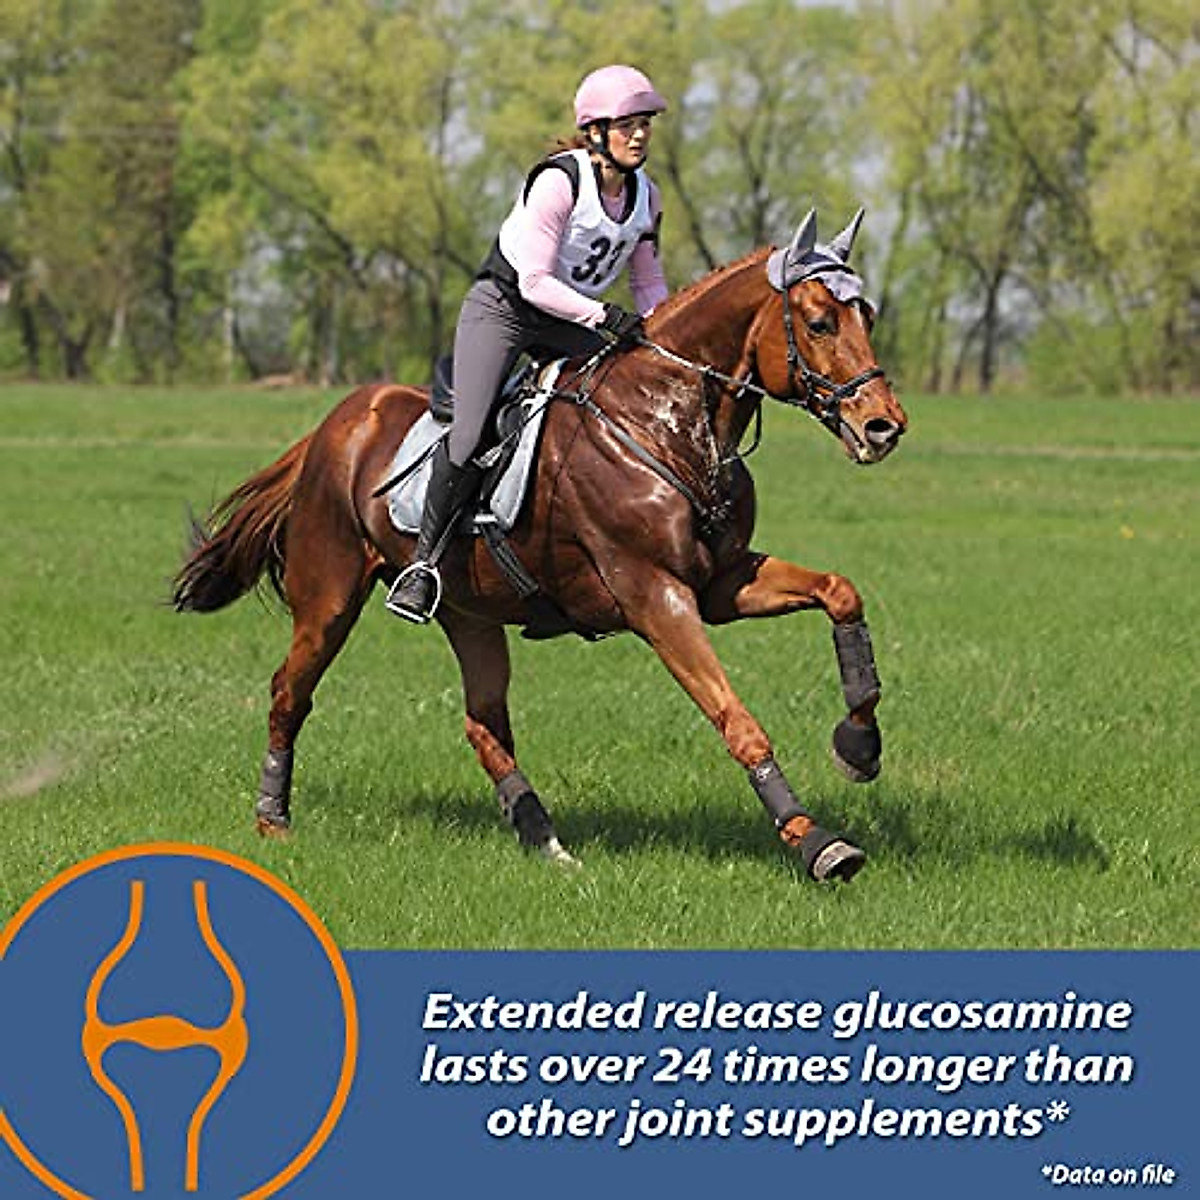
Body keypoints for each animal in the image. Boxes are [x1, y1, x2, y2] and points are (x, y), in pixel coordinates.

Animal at [172, 209, 908, 883]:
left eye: (866, 314)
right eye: (819, 322)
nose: (885, 426)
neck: (666, 422)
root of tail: (340, 419)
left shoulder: (721, 582)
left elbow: (841, 593)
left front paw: (859, 746)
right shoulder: (655, 595)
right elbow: (736, 718)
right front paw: (817, 843)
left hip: (468, 612)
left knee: (482, 723)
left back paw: (544, 838)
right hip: (329, 597)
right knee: (289, 692)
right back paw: (272, 817)